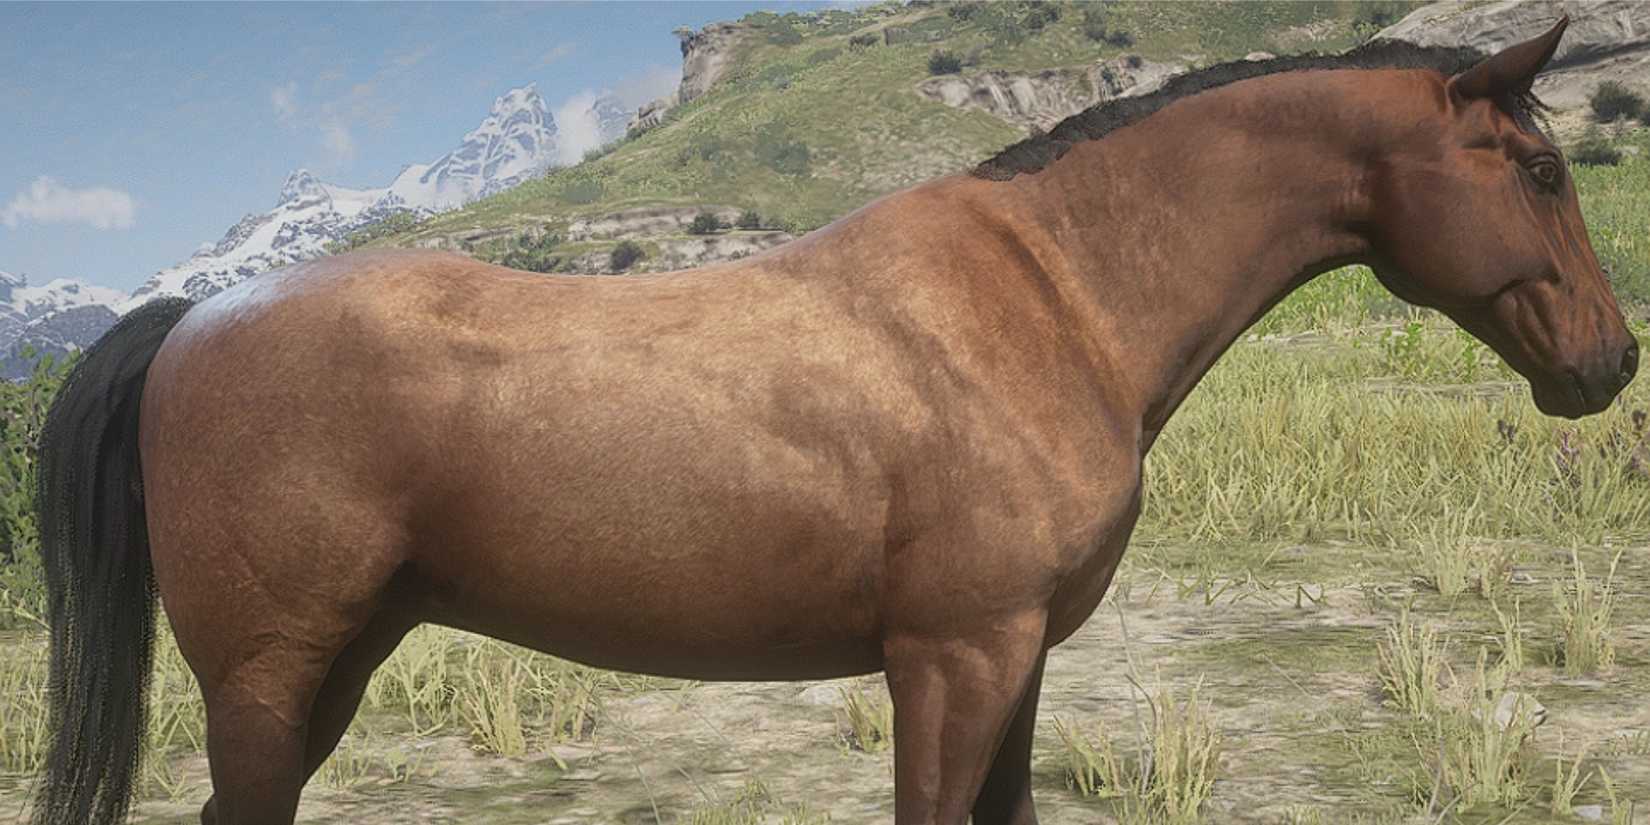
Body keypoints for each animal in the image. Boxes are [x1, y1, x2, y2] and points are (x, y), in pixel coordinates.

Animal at [32, 16, 1637, 825]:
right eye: (1539, 167)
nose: (1609, 363)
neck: (1052, 296)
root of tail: (195, 320)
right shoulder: (951, 658)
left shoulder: (1014, 660)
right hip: (266, 678)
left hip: (332, 665)